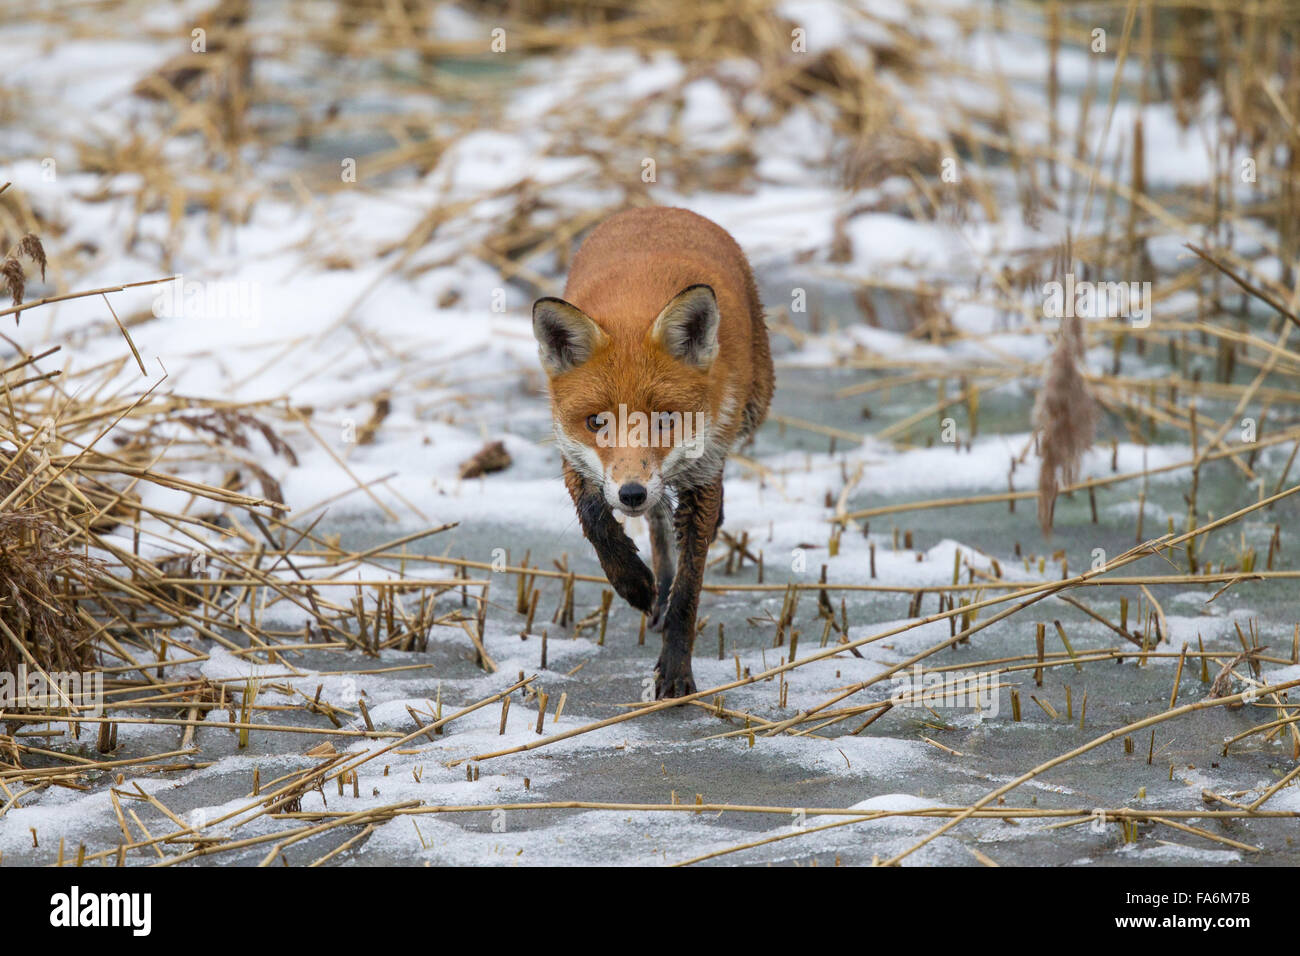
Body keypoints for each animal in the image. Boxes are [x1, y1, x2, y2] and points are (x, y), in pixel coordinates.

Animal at [532, 206, 773, 698]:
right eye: (596, 422)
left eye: (664, 420)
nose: (632, 494)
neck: (635, 304)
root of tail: (657, 210)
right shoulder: (574, 456)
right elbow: (597, 523)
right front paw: (635, 584)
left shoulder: (703, 471)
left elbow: (688, 592)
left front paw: (676, 674)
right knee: (660, 527)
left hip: (753, 406)